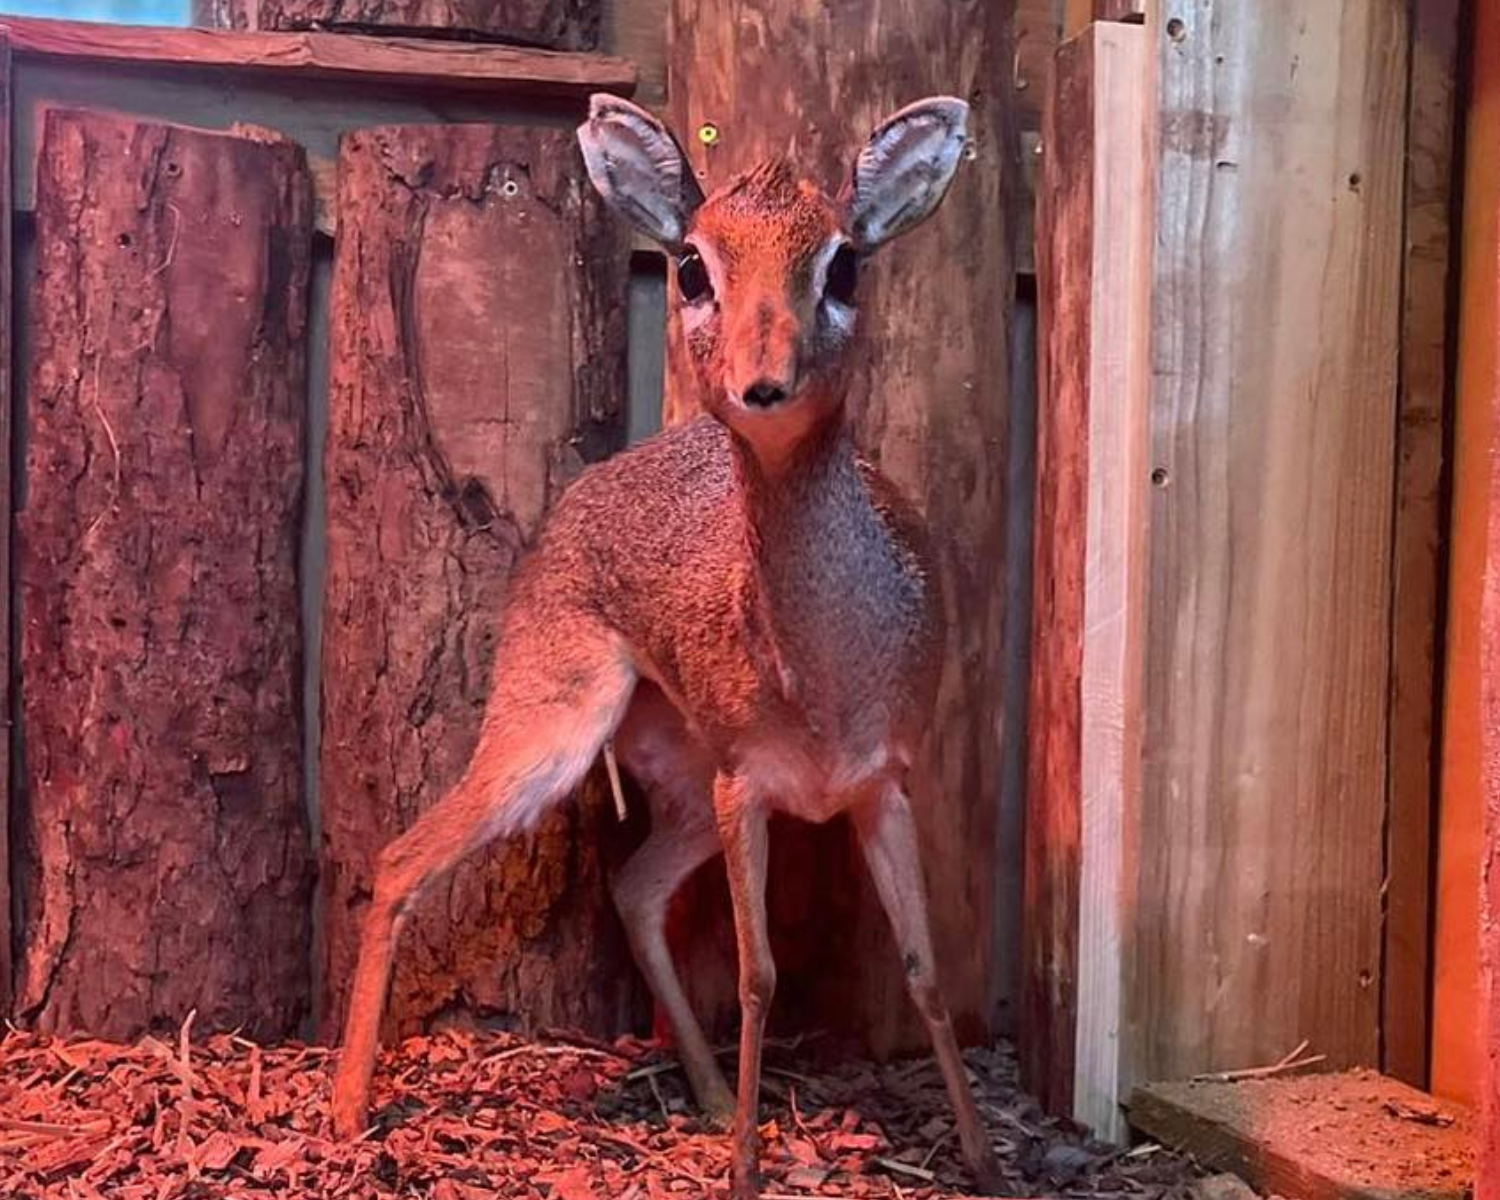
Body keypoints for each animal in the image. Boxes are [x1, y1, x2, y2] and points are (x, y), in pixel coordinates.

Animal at [331, 92, 1002, 1199]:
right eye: (691, 265)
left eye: (845, 265)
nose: (763, 383)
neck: (825, 678)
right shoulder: (748, 785)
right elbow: (761, 975)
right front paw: (746, 1173)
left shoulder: (879, 783)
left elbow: (926, 972)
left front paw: (986, 1162)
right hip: (554, 731)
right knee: (401, 856)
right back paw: (345, 1106)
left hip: (677, 784)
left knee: (634, 884)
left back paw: (718, 1097)